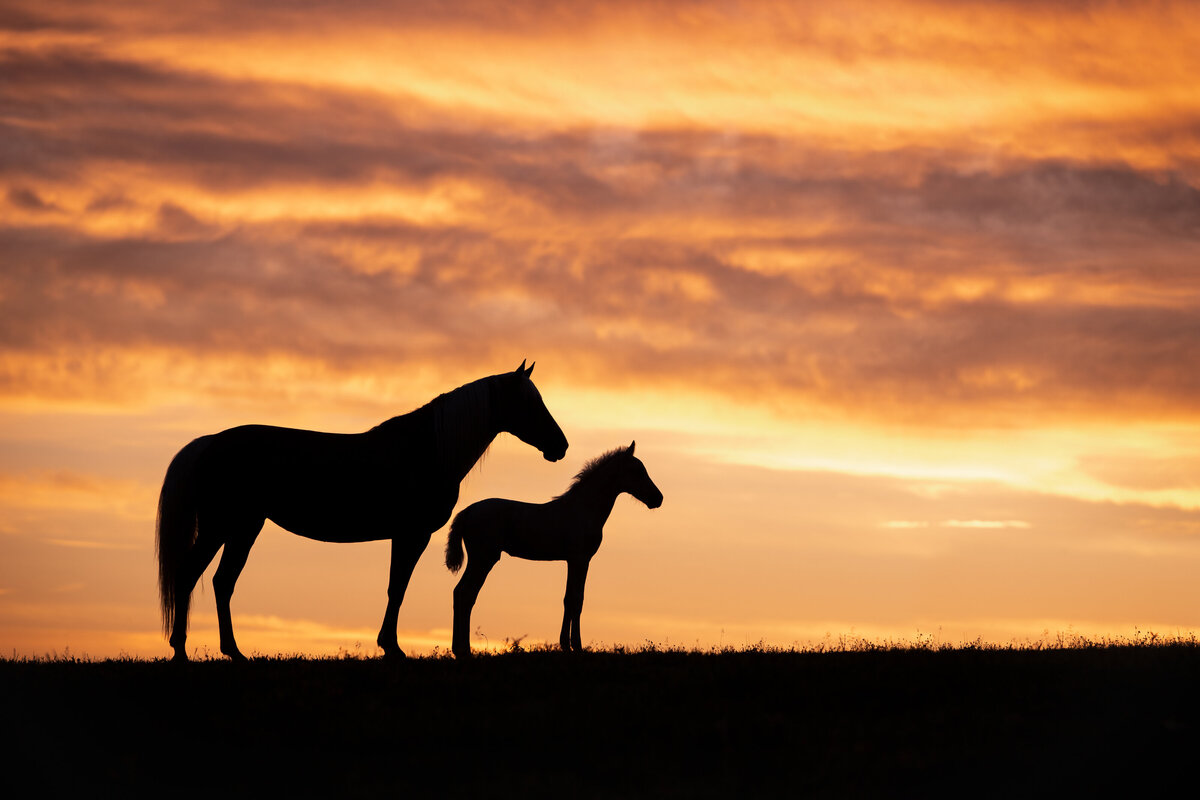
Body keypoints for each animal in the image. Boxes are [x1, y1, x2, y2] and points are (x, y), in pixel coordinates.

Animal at [156, 361, 568, 662]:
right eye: (530, 402)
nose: (560, 446)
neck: (427, 449)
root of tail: (209, 443)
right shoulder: (411, 534)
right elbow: (397, 587)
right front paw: (392, 648)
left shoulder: (406, 535)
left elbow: (395, 587)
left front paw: (389, 645)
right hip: (222, 527)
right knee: (191, 575)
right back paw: (181, 651)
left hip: (243, 528)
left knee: (221, 582)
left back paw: (233, 653)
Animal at [445, 441, 663, 658]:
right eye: (637, 471)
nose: (658, 498)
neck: (583, 509)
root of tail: (467, 512)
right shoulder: (580, 559)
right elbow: (576, 599)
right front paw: (576, 646)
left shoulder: (573, 560)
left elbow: (569, 599)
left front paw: (567, 644)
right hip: (483, 559)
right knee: (465, 593)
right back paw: (463, 651)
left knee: (462, 593)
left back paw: (461, 649)